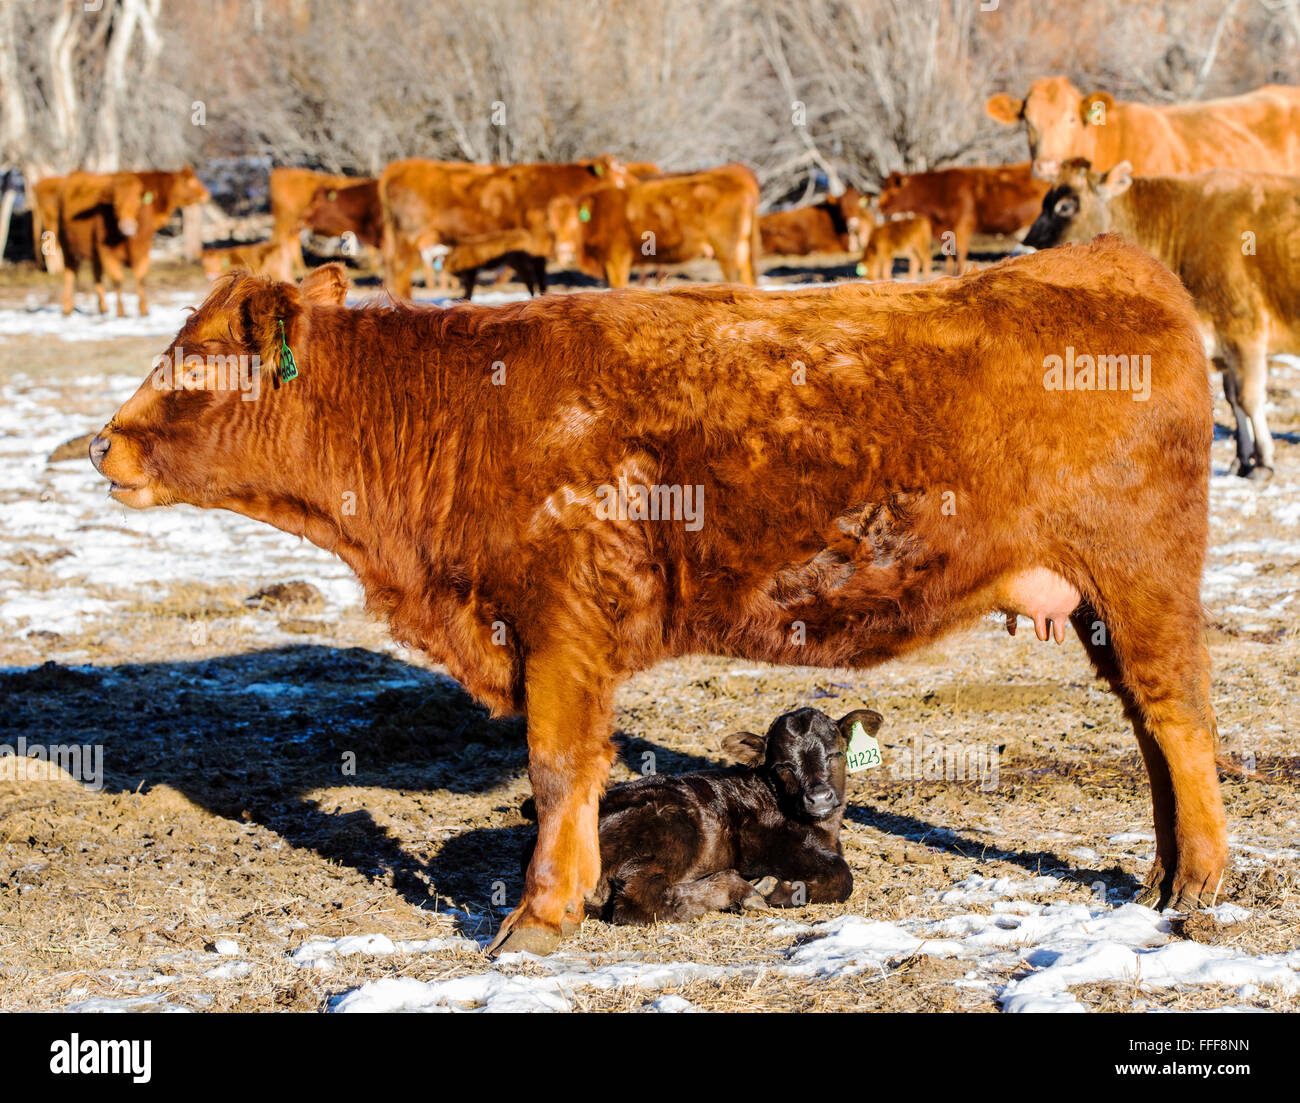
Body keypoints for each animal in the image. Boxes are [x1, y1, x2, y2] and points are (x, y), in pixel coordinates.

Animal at [58, 167, 210, 316]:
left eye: (137, 202)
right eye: (115, 205)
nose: (206, 194)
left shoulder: (144, 248)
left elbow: (140, 277)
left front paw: (144, 310)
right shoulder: (107, 251)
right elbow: (117, 279)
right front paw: (121, 312)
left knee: (97, 275)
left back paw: (103, 308)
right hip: (67, 246)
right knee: (69, 273)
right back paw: (67, 308)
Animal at [379, 156, 636, 298]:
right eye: (620, 175)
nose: (636, 185)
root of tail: (399, 166)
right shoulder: (537, 239)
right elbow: (539, 274)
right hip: (409, 236)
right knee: (400, 269)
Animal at [556, 163, 761, 288]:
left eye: (574, 222)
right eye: (554, 225)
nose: (562, 248)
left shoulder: (617, 260)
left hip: (727, 250)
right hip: (742, 249)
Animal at [568, 706, 872, 924]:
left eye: (836, 754)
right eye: (784, 766)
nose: (819, 797)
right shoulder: (770, 845)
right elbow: (843, 875)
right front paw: (781, 890)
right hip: (674, 827)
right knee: (635, 901)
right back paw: (741, 891)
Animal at [1022, 158, 1299, 481]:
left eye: (1065, 206)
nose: (1027, 244)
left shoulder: (1243, 329)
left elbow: (1248, 398)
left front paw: (1263, 461)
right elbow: (1232, 399)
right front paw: (1243, 459)